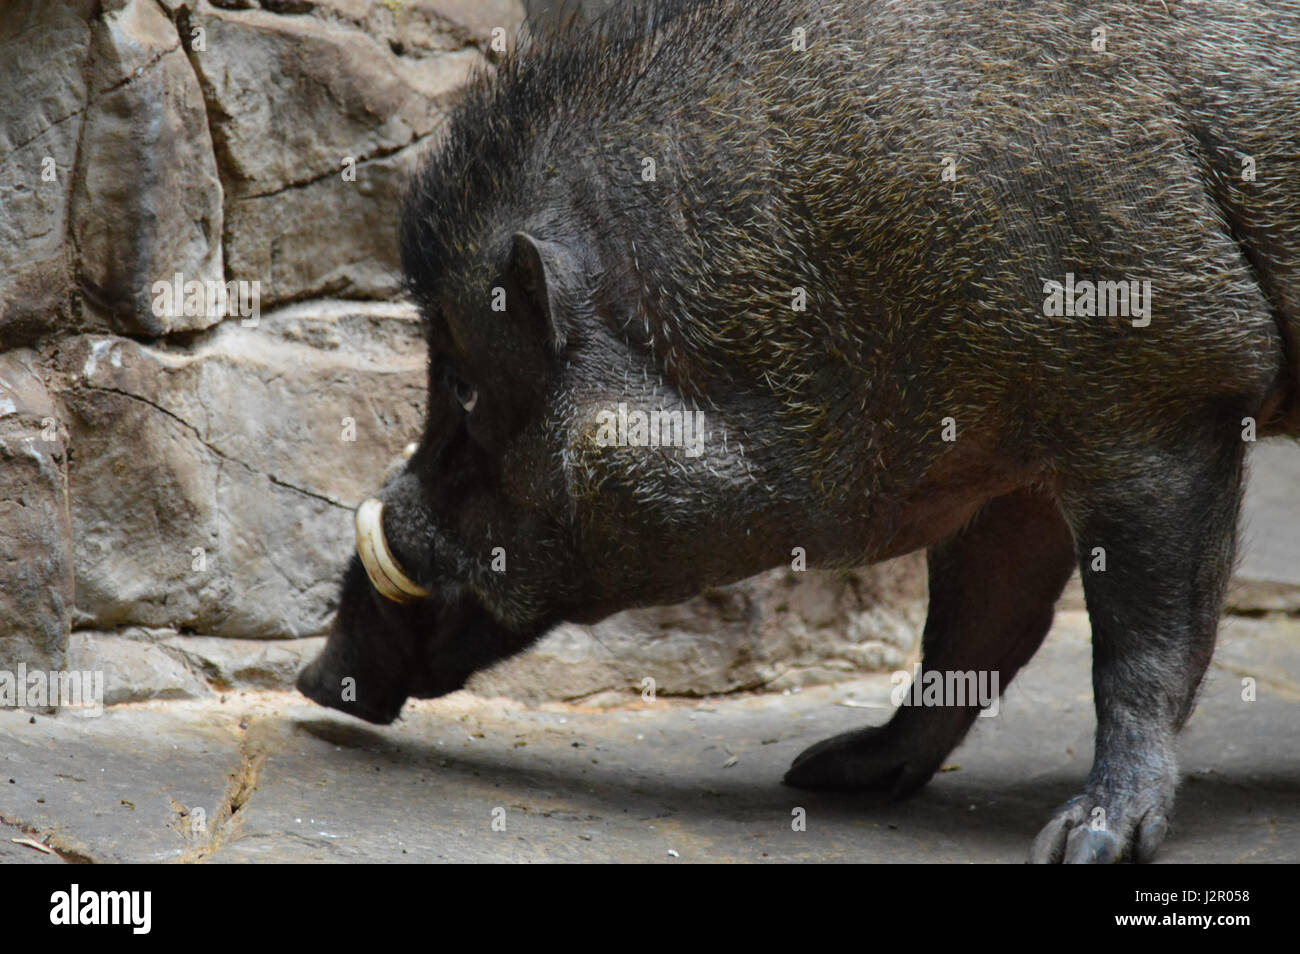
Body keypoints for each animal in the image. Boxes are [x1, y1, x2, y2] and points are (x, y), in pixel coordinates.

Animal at [298, 0, 1300, 863]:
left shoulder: (1165, 400)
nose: (315, 678)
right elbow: (970, 633)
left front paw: (1082, 844)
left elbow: (1138, 646)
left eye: (466, 385)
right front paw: (830, 772)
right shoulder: (1009, 459)